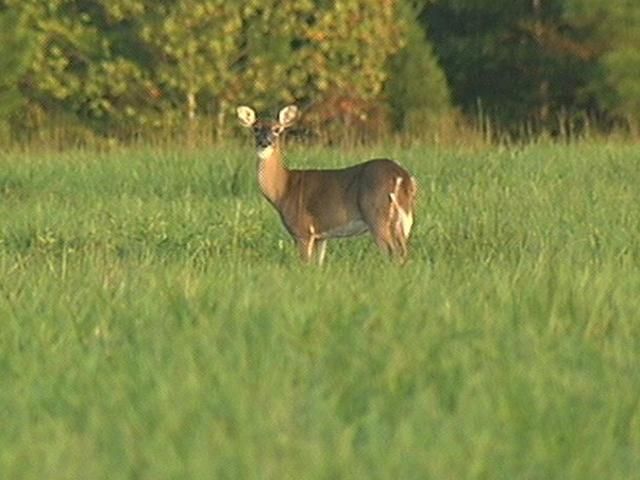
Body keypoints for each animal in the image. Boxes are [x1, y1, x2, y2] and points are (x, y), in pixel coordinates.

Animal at [237, 104, 416, 265]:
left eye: (277, 129)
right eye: (256, 128)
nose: (265, 142)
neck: (284, 189)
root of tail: (401, 176)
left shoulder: (302, 230)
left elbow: (305, 265)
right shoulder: (320, 236)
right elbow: (319, 264)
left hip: (376, 213)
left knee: (392, 252)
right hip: (402, 219)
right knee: (403, 252)